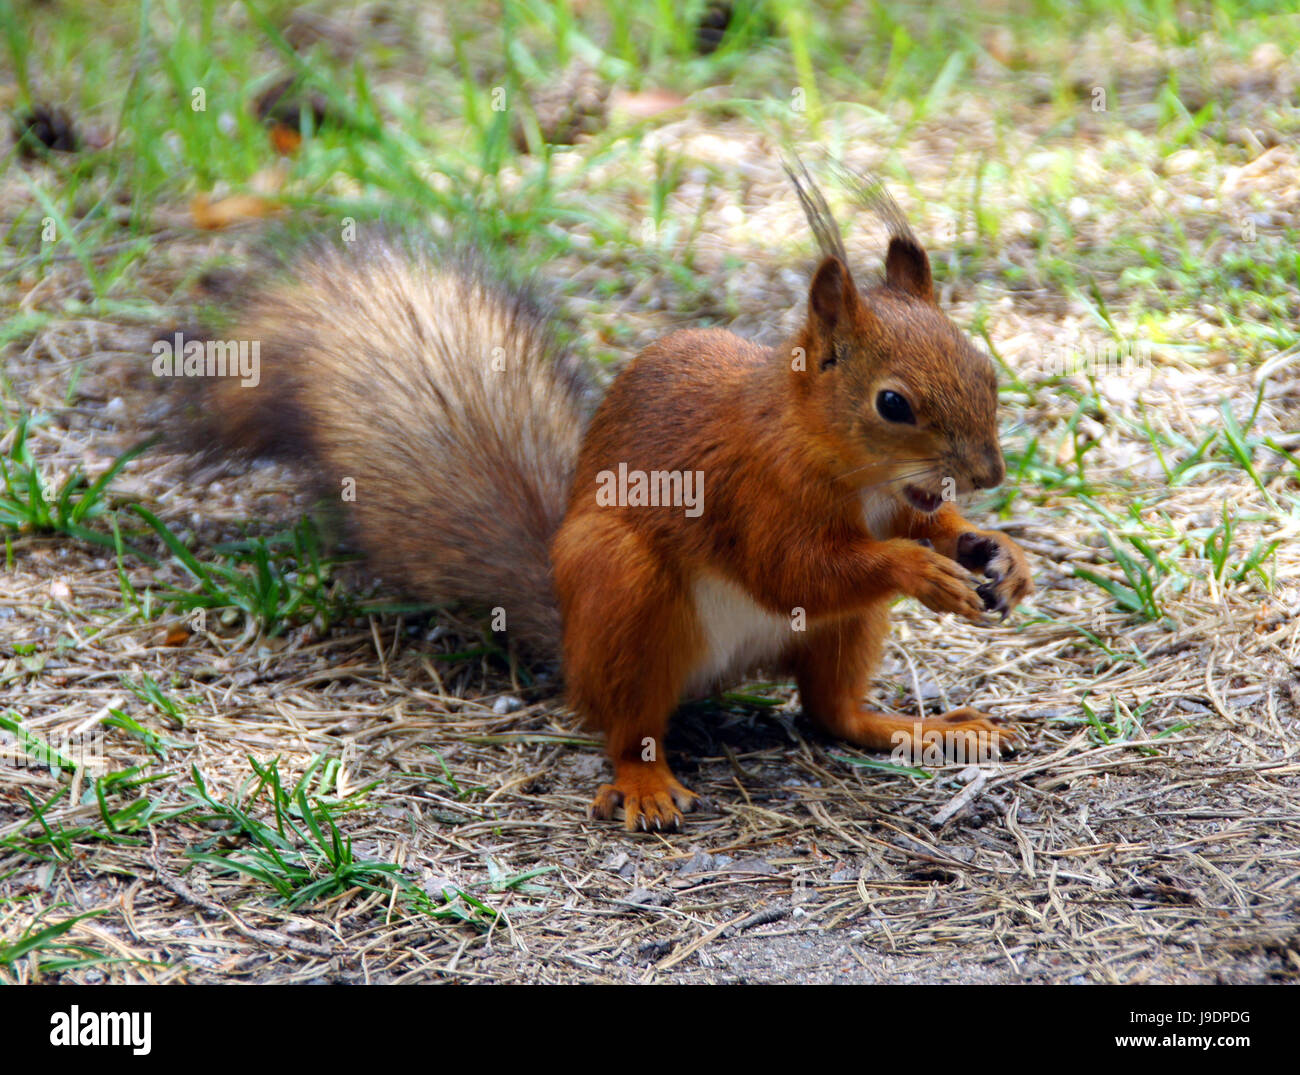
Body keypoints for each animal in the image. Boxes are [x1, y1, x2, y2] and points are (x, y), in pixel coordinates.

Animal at [186, 161, 1033, 831]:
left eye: (985, 368)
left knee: (832, 711)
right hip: (625, 592)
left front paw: (998, 553)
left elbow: (929, 529)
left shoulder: (901, 503)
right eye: (893, 404)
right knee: (629, 726)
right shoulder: (748, 490)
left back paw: (927, 728)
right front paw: (920, 571)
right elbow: (794, 570)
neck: (855, 476)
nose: (989, 472)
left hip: (840, 633)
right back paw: (645, 783)